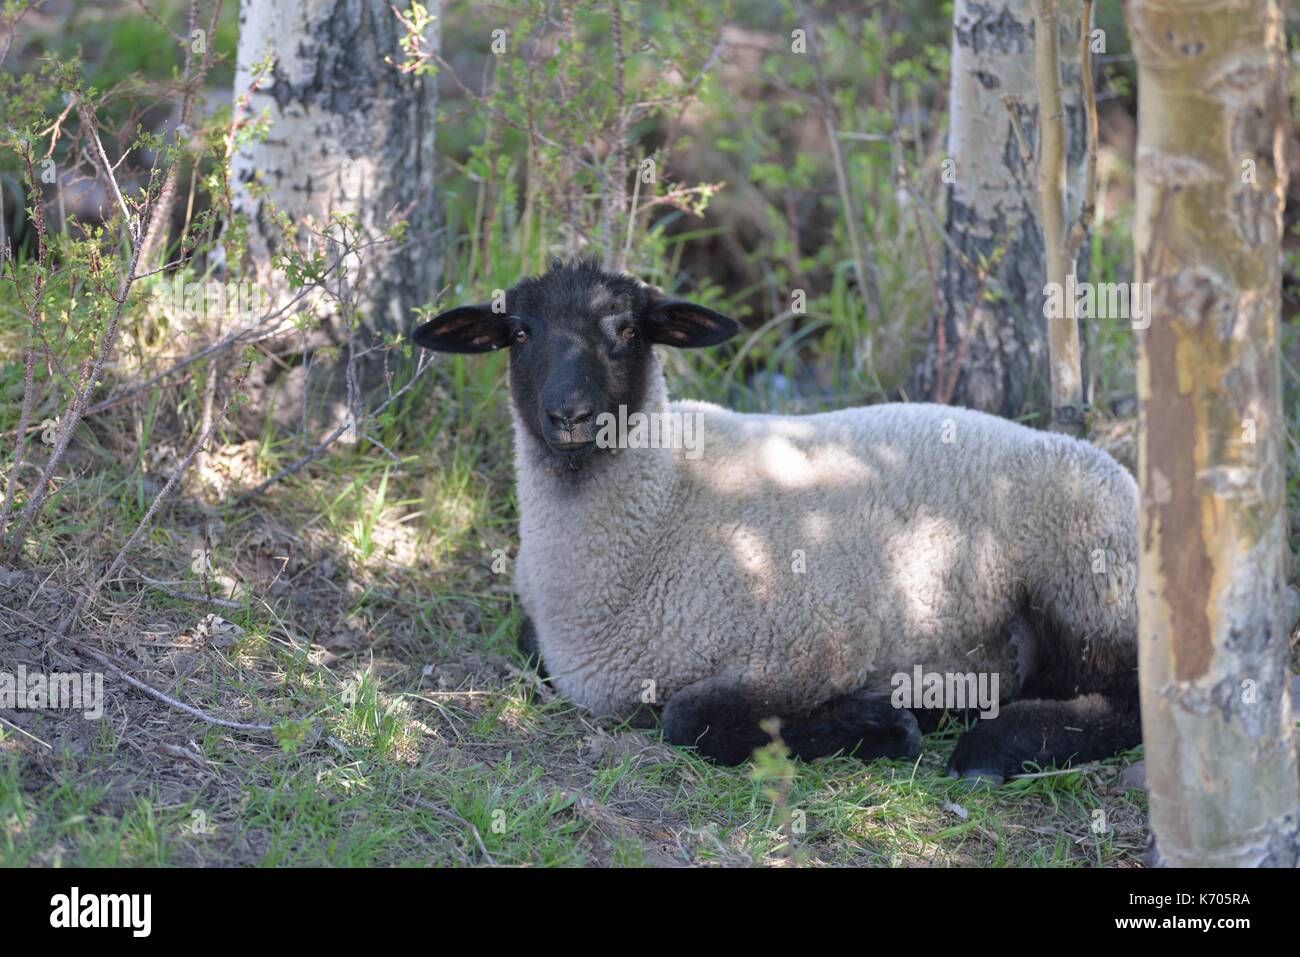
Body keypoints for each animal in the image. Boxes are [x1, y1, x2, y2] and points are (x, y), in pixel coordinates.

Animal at [416, 257, 1138, 780]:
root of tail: (1123, 475)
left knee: (1129, 702)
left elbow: (688, 718)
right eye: (519, 333)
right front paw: (894, 715)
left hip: (1085, 579)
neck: (663, 514)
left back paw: (991, 747)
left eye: (628, 331)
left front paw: (883, 724)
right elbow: (530, 644)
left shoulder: (814, 645)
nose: (569, 414)